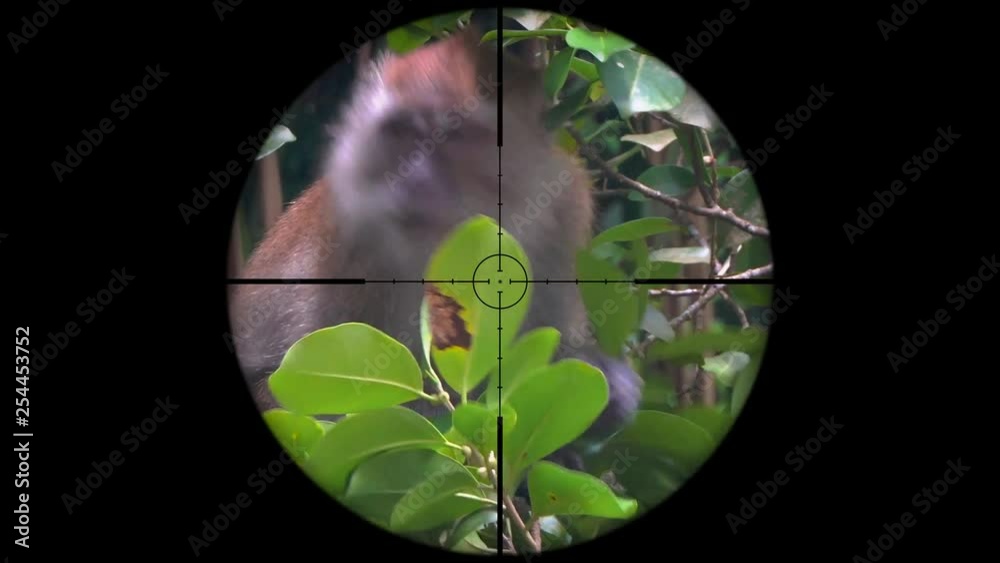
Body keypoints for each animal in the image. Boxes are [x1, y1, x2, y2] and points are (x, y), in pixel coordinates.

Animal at [228, 26, 643, 470]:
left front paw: (609, 389)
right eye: (403, 131)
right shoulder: (356, 242)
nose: (410, 178)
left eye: (455, 135)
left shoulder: (562, 212)